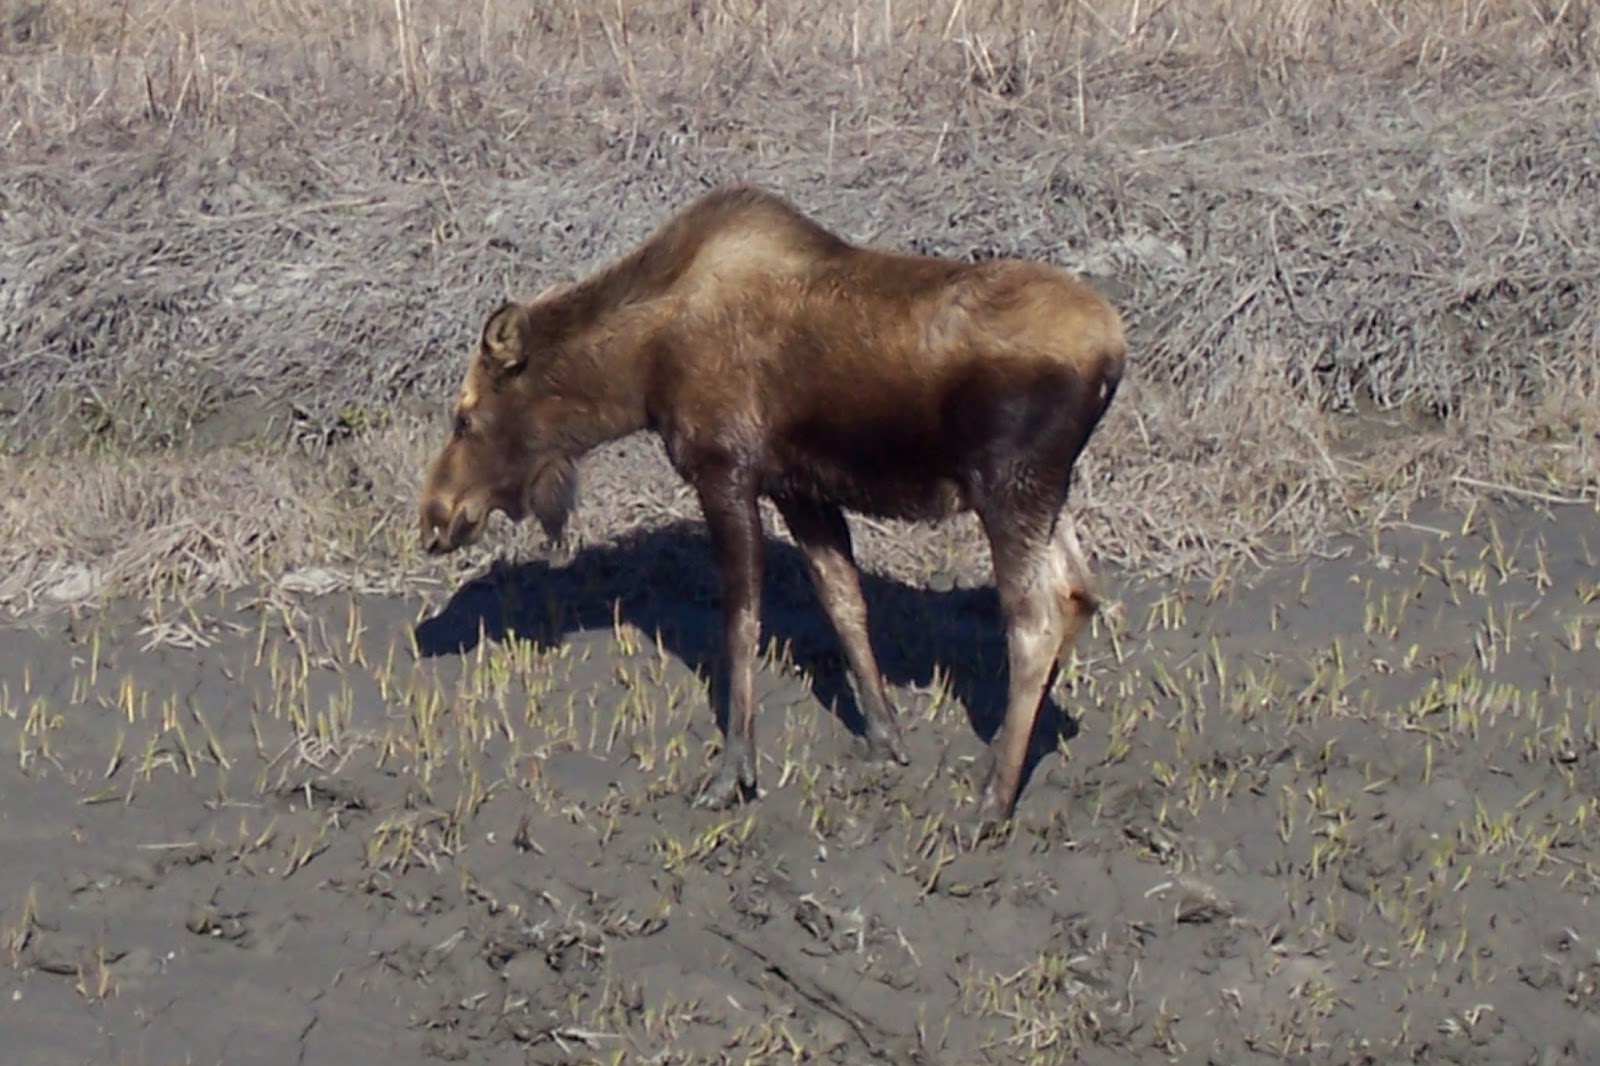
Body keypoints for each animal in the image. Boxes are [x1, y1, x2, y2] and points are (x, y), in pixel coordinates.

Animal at [418, 184, 1125, 829]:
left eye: (465, 417)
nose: (435, 516)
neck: (640, 372)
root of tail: (1114, 353)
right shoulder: (799, 488)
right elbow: (843, 601)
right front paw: (884, 741)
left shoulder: (725, 472)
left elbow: (742, 622)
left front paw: (734, 773)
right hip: (1045, 494)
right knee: (1076, 594)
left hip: (1009, 487)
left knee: (1034, 623)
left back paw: (994, 802)